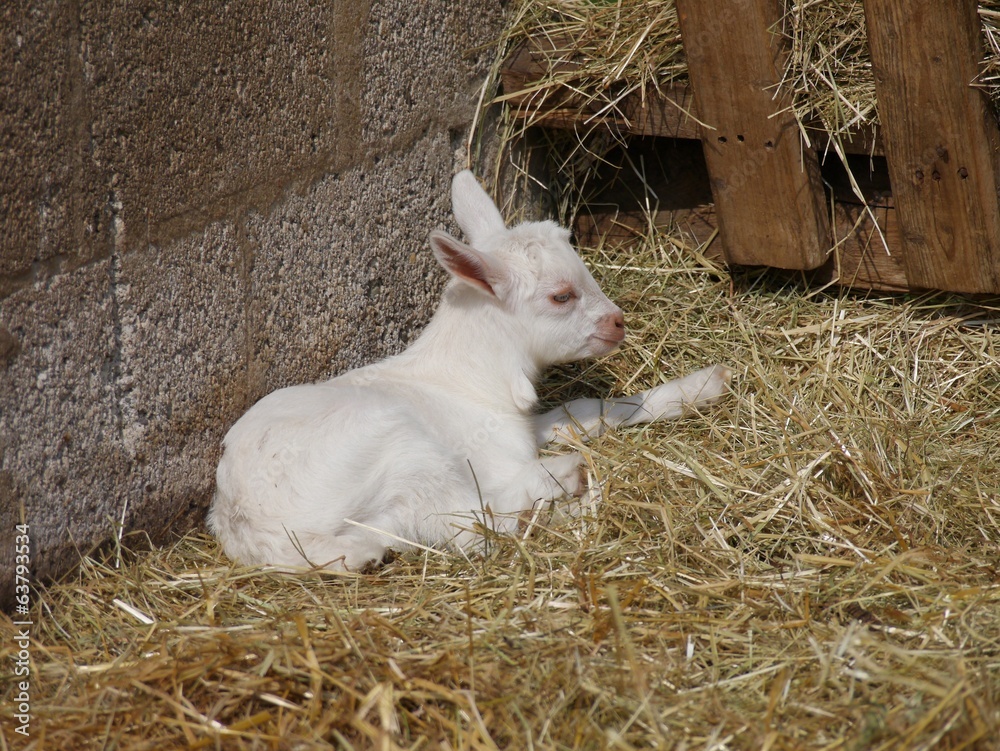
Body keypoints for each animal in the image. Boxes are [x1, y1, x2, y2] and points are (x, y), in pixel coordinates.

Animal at [208, 171, 730, 569]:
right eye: (561, 296)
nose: (618, 322)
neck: (470, 378)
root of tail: (250, 531)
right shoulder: (492, 456)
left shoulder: (513, 429)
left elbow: (585, 410)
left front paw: (703, 386)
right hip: (403, 450)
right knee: (471, 525)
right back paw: (569, 480)